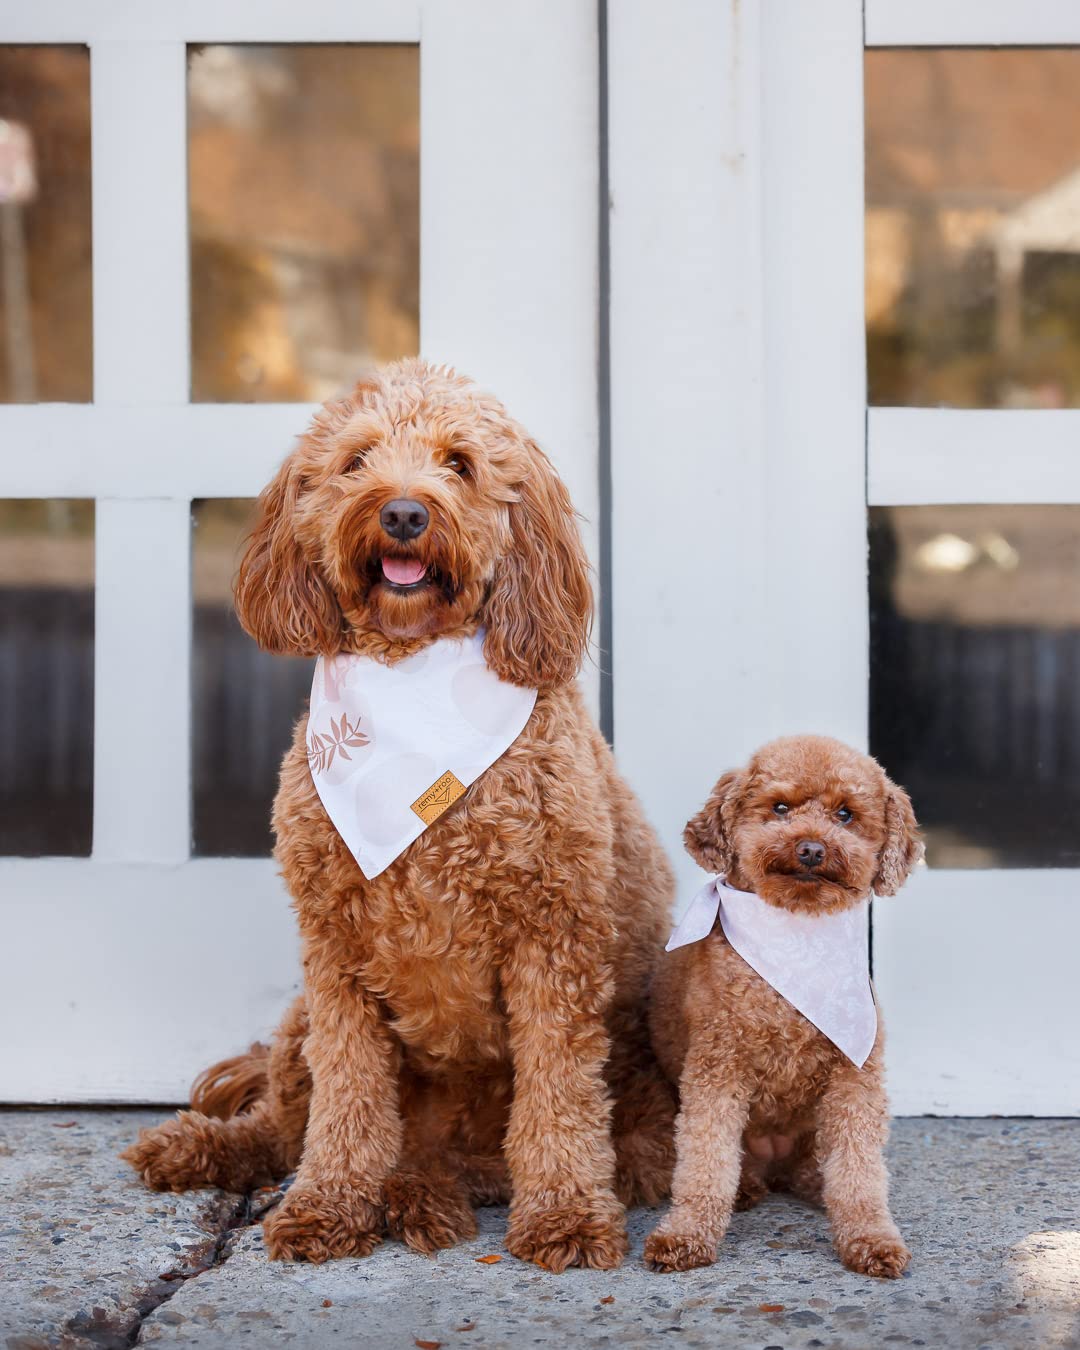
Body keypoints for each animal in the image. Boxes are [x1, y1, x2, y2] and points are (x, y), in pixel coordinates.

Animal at [126, 359, 675, 1263]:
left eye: (460, 463)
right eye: (355, 461)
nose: (405, 512)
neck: (414, 675)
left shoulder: (552, 942)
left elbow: (558, 1095)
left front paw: (564, 1214)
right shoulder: (336, 954)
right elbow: (346, 1100)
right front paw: (328, 1204)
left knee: (518, 1153)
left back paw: (423, 1191)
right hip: (300, 1022)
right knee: (283, 1122)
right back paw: (202, 1148)